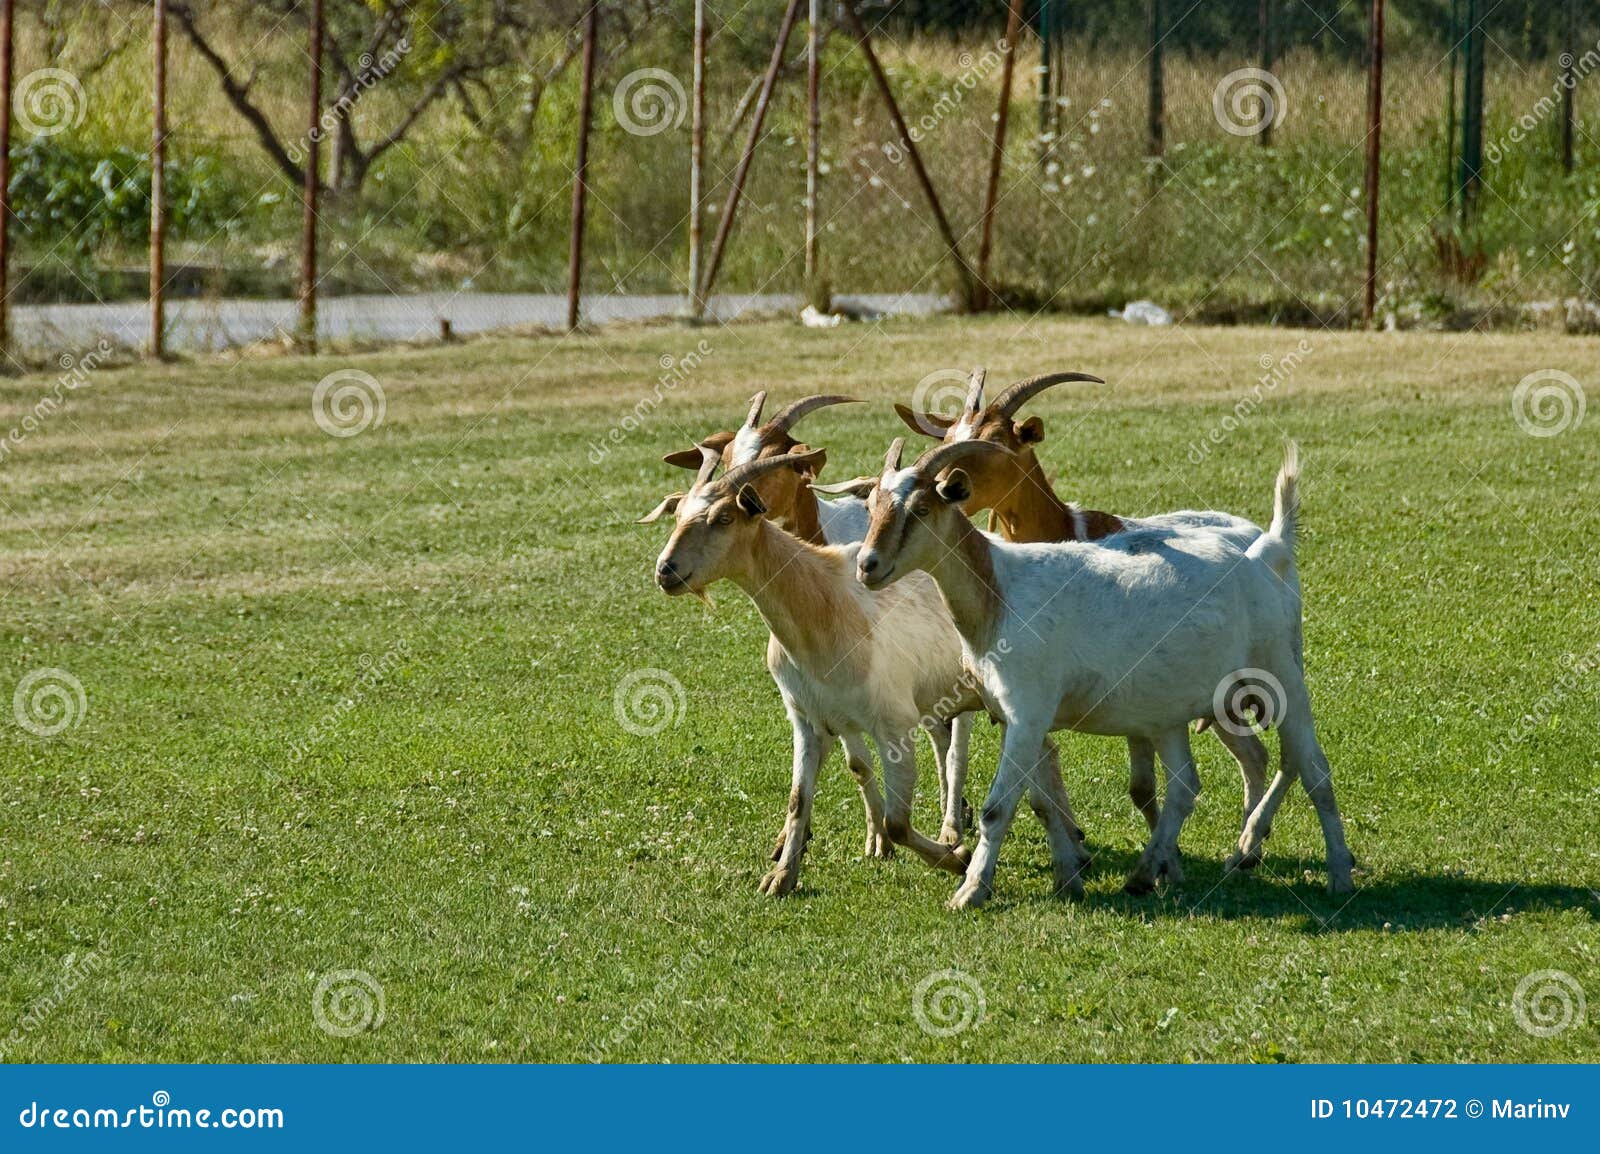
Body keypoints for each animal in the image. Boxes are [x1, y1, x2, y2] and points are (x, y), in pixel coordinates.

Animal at [643, 448, 1012, 897]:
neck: (821, 606)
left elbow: (897, 821)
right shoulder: (807, 718)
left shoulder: (892, 724)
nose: (666, 571)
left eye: (724, 517)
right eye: (678, 516)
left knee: (957, 753)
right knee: (944, 744)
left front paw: (955, 861)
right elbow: (799, 797)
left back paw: (954, 832)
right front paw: (781, 876)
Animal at [856, 437, 1355, 908]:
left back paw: (1337, 875)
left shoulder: (1027, 711)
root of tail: (1267, 551)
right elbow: (1041, 801)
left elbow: (998, 808)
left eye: (920, 509)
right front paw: (1068, 877)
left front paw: (970, 891)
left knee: (1313, 768)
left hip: (1281, 673)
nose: (867, 565)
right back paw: (1156, 871)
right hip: (1176, 708)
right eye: (870, 506)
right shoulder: (1016, 717)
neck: (1000, 590)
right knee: (1188, 785)